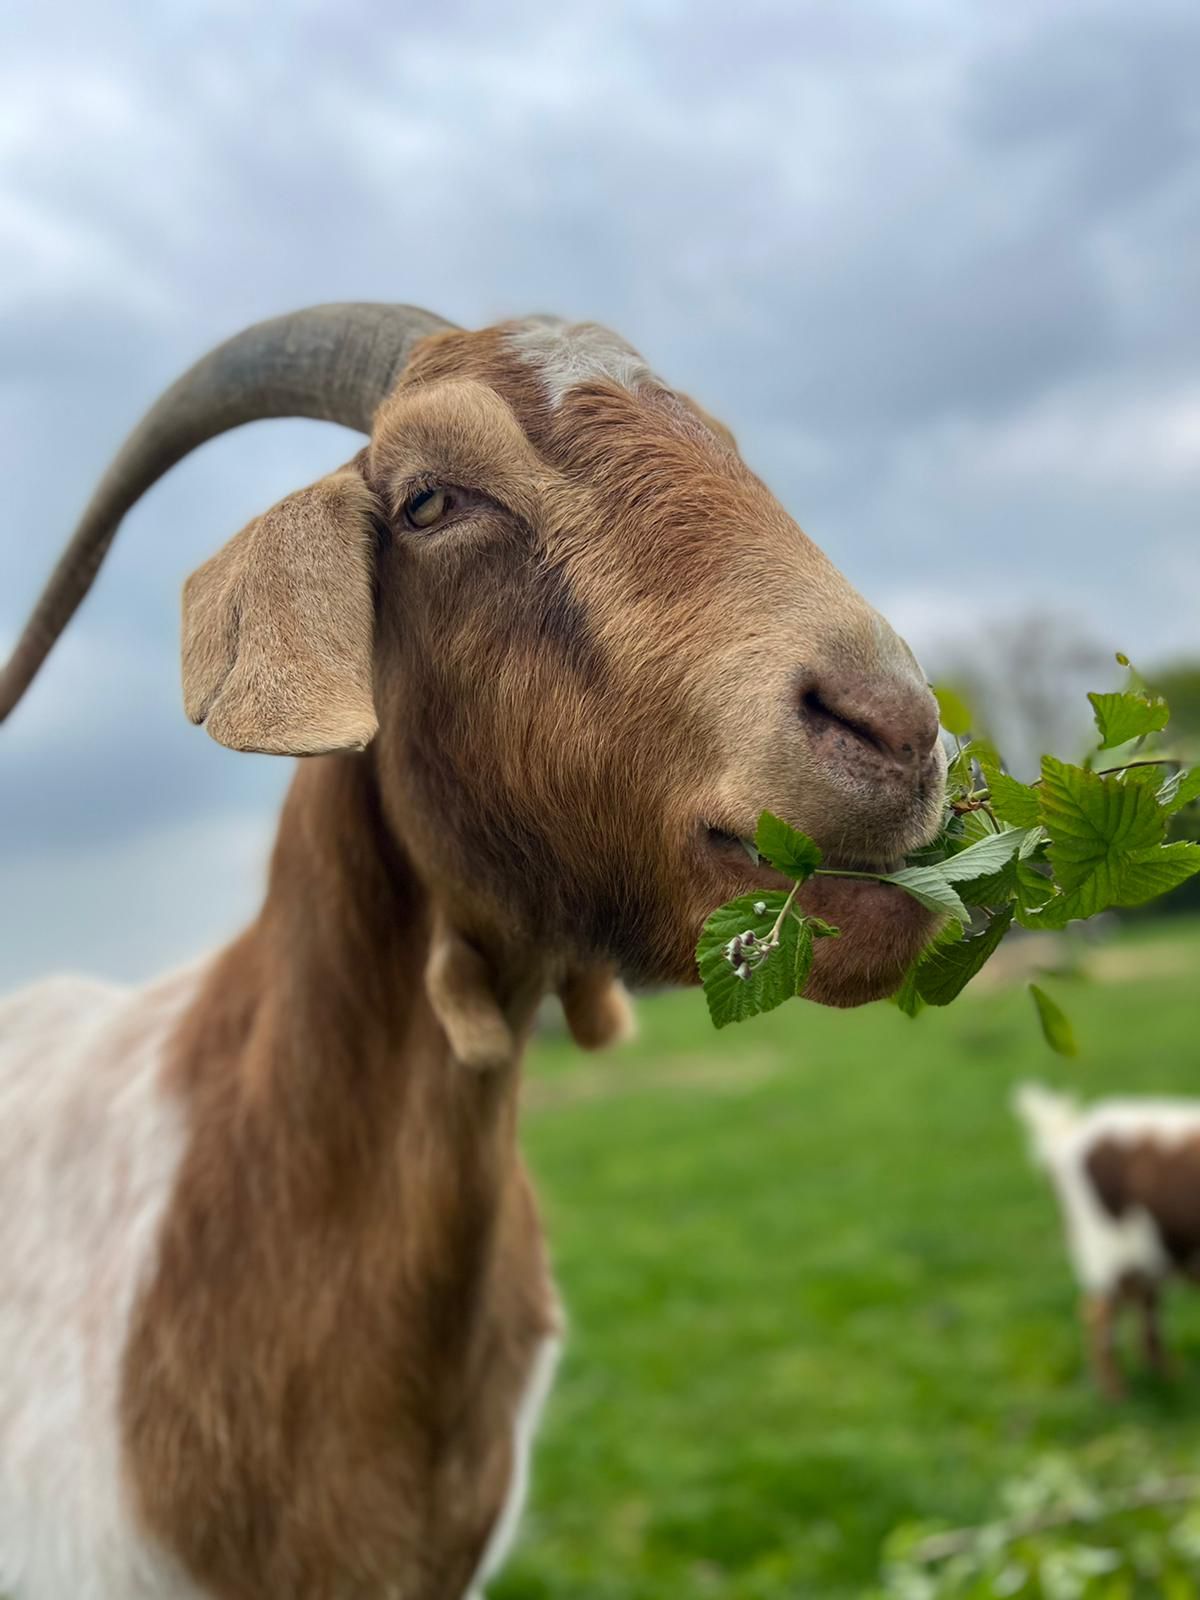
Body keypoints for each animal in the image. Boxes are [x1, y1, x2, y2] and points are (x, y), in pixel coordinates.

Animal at [1015, 1082, 1200, 1397]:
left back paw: (1168, 1375)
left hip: (1149, 1250)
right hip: (1107, 1250)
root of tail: (1071, 1134)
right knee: (1099, 1314)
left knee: (1147, 1309)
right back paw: (1116, 1393)